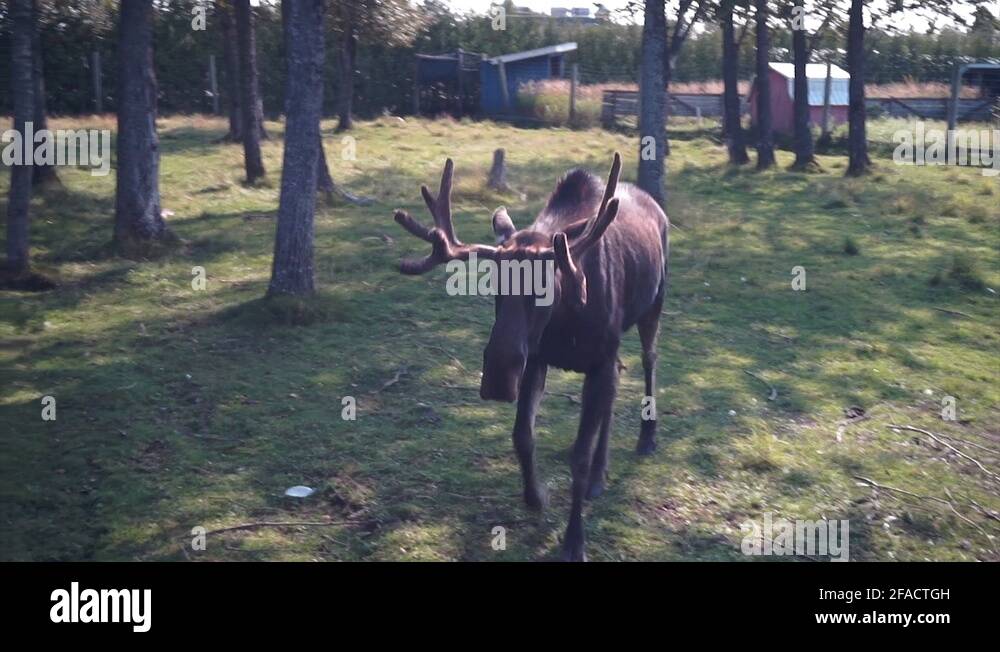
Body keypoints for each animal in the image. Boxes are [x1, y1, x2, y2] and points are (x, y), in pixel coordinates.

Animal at [392, 153, 669, 561]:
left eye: (543, 286)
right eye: (492, 283)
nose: (496, 378)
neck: (565, 319)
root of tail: (657, 208)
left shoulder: (596, 359)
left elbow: (578, 457)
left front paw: (574, 541)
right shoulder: (537, 359)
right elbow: (522, 435)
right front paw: (536, 496)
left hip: (654, 304)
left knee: (650, 360)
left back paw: (646, 438)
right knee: (618, 382)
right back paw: (601, 474)